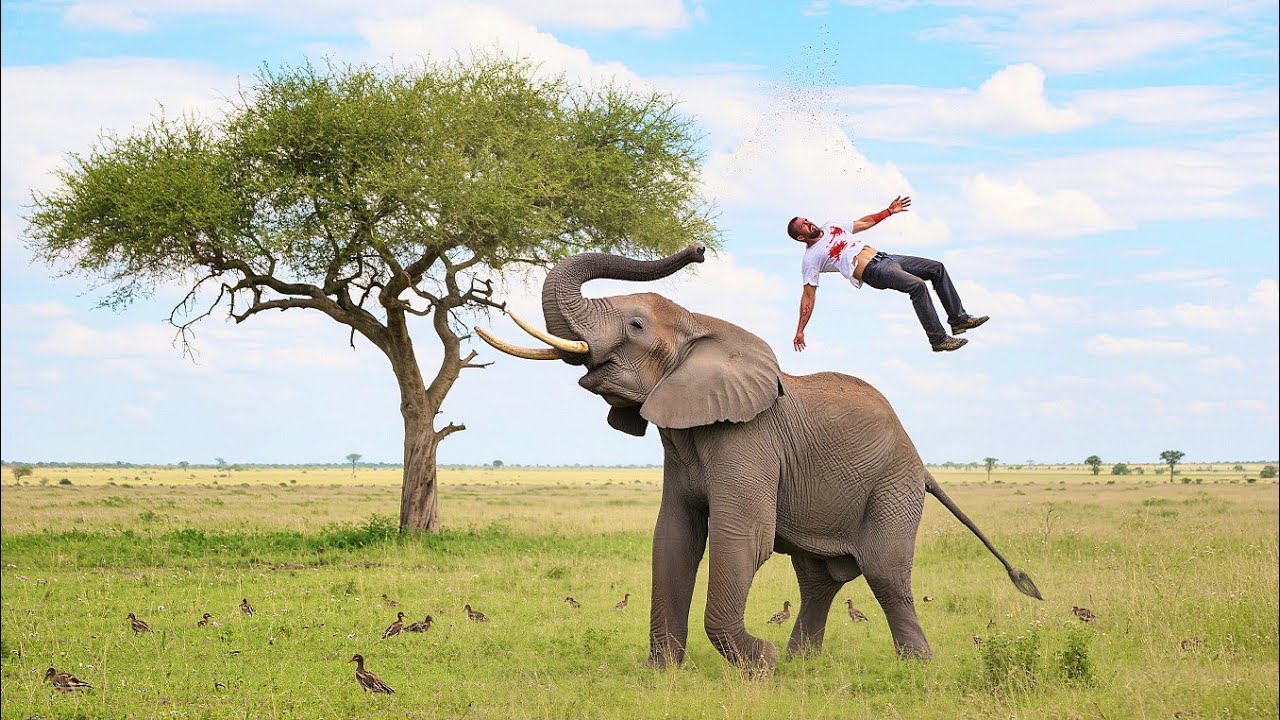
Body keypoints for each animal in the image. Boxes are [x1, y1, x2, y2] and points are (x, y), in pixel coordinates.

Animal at [476, 244, 1041, 672]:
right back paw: (801, 667)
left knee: (884, 572)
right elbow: (674, 538)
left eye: (634, 326)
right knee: (819, 579)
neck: (701, 325)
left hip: (892, 483)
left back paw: (915, 669)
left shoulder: (748, 437)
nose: (699, 249)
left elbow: (742, 538)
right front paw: (662, 674)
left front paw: (758, 666)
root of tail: (921, 464)